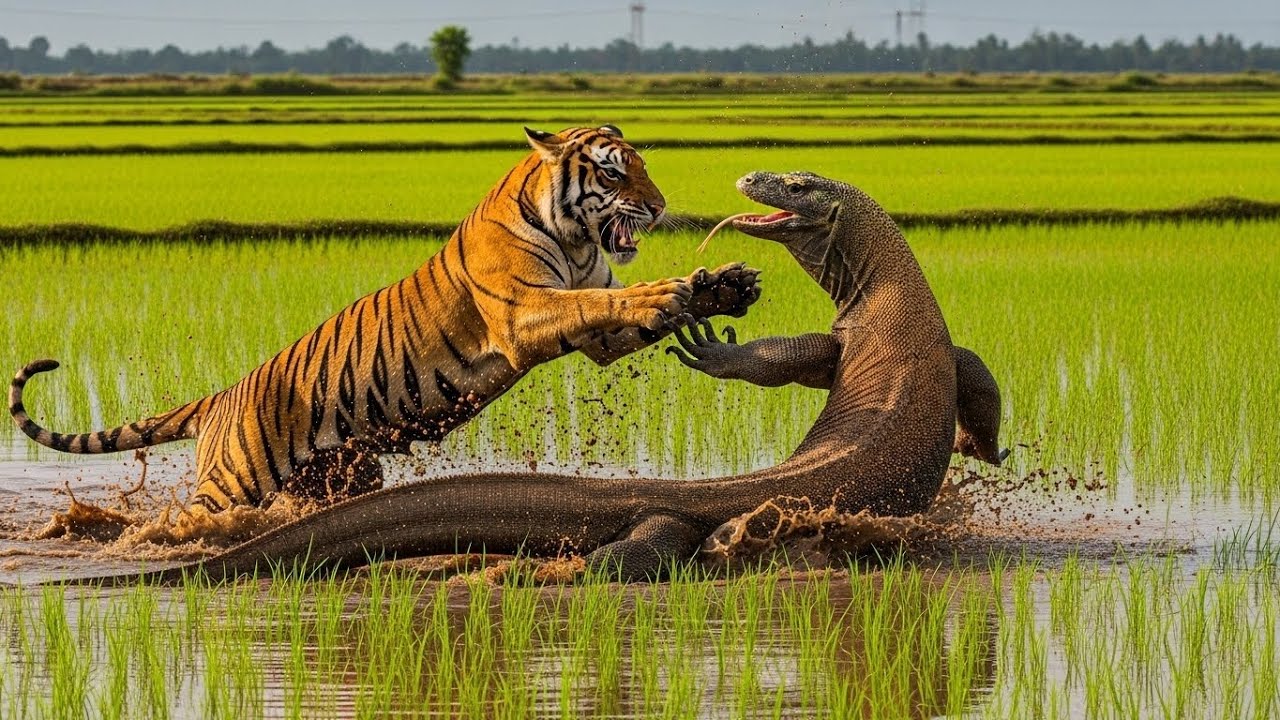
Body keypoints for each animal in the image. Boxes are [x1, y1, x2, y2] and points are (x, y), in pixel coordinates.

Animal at [9, 125, 762, 514]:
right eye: (612, 174)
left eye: (642, 167)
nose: (659, 207)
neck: (577, 237)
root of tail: (222, 395)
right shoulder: (528, 312)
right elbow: (607, 299)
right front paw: (667, 290)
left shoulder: (597, 337)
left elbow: (621, 309)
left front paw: (723, 286)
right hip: (231, 484)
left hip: (340, 472)